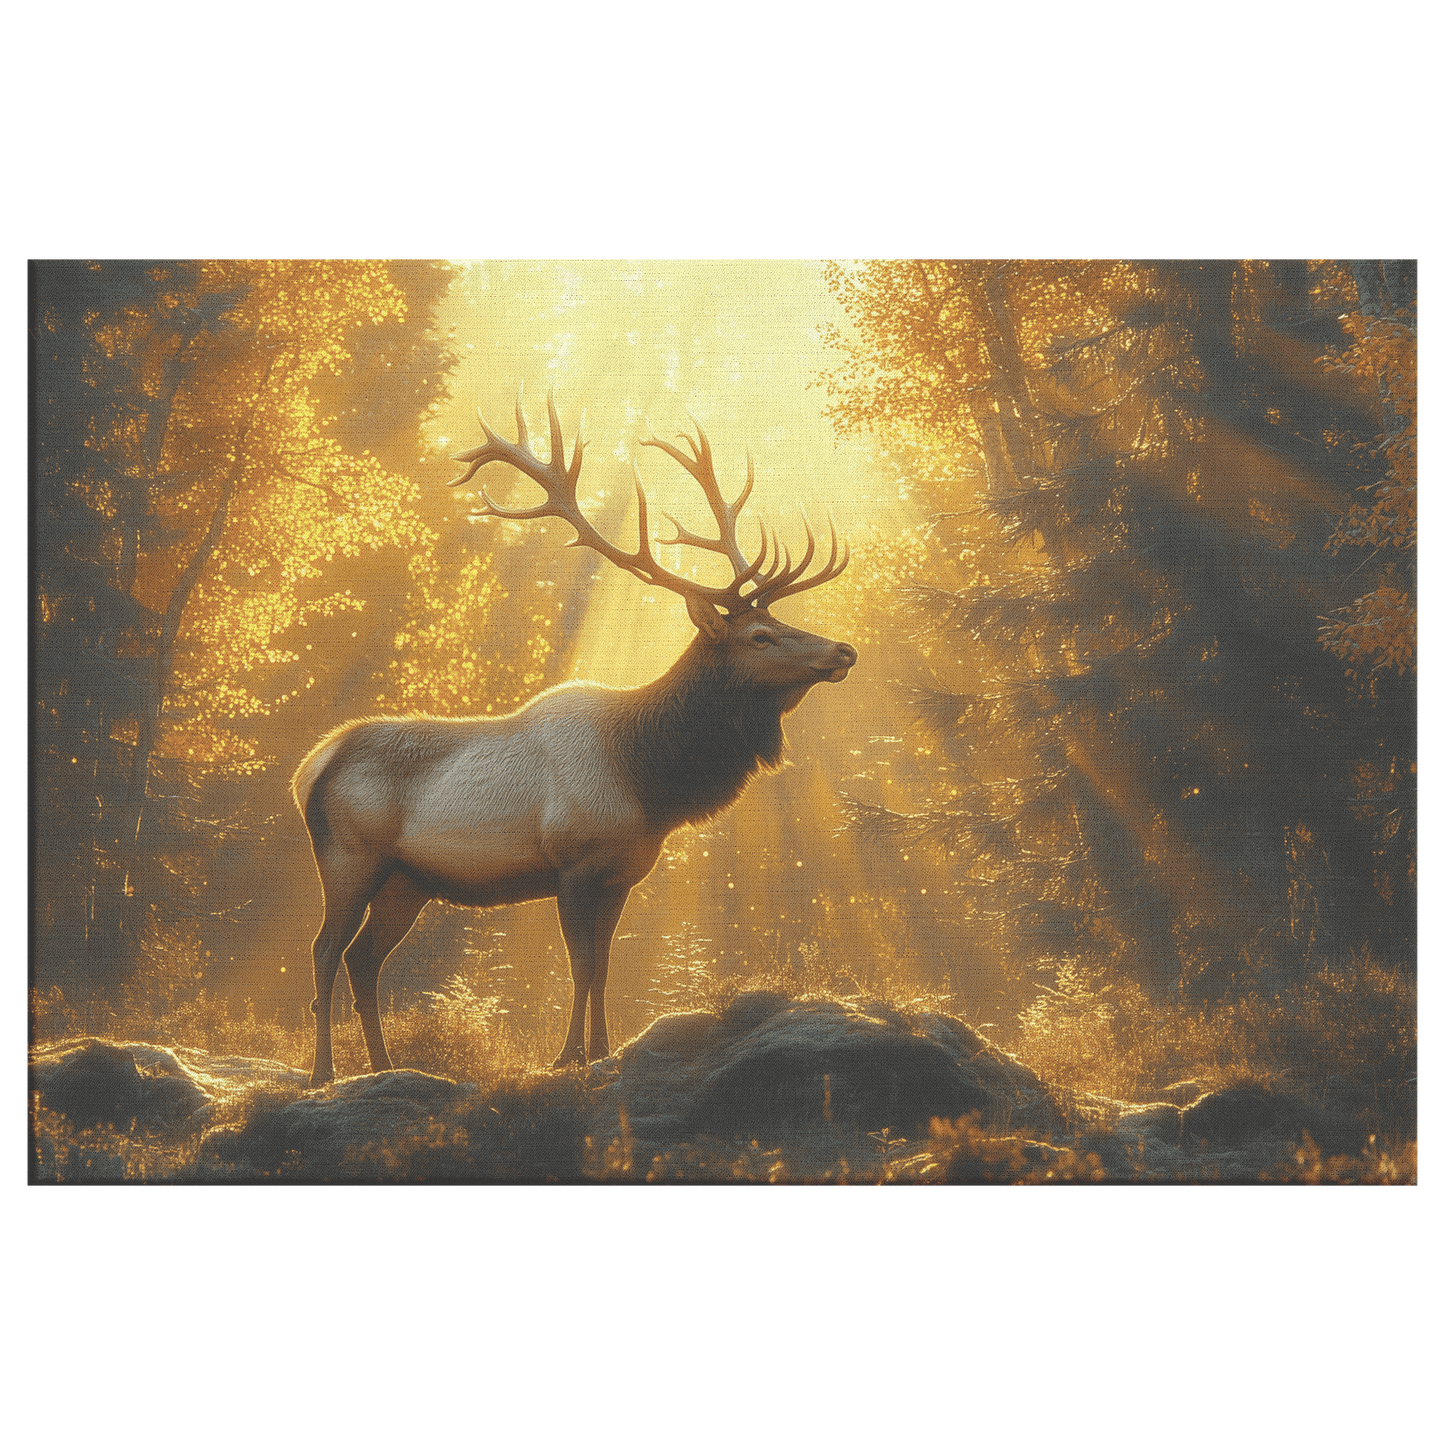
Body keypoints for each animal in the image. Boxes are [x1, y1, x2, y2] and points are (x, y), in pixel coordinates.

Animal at [292, 393, 856, 1086]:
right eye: (760, 636)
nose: (843, 651)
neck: (650, 782)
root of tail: (312, 765)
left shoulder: (623, 873)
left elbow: (605, 967)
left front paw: (603, 1050)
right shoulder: (574, 863)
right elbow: (581, 966)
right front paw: (566, 1057)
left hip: (408, 881)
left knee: (365, 958)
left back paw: (382, 1067)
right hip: (349, 856)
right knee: (325, 950)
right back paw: (325, 1073)